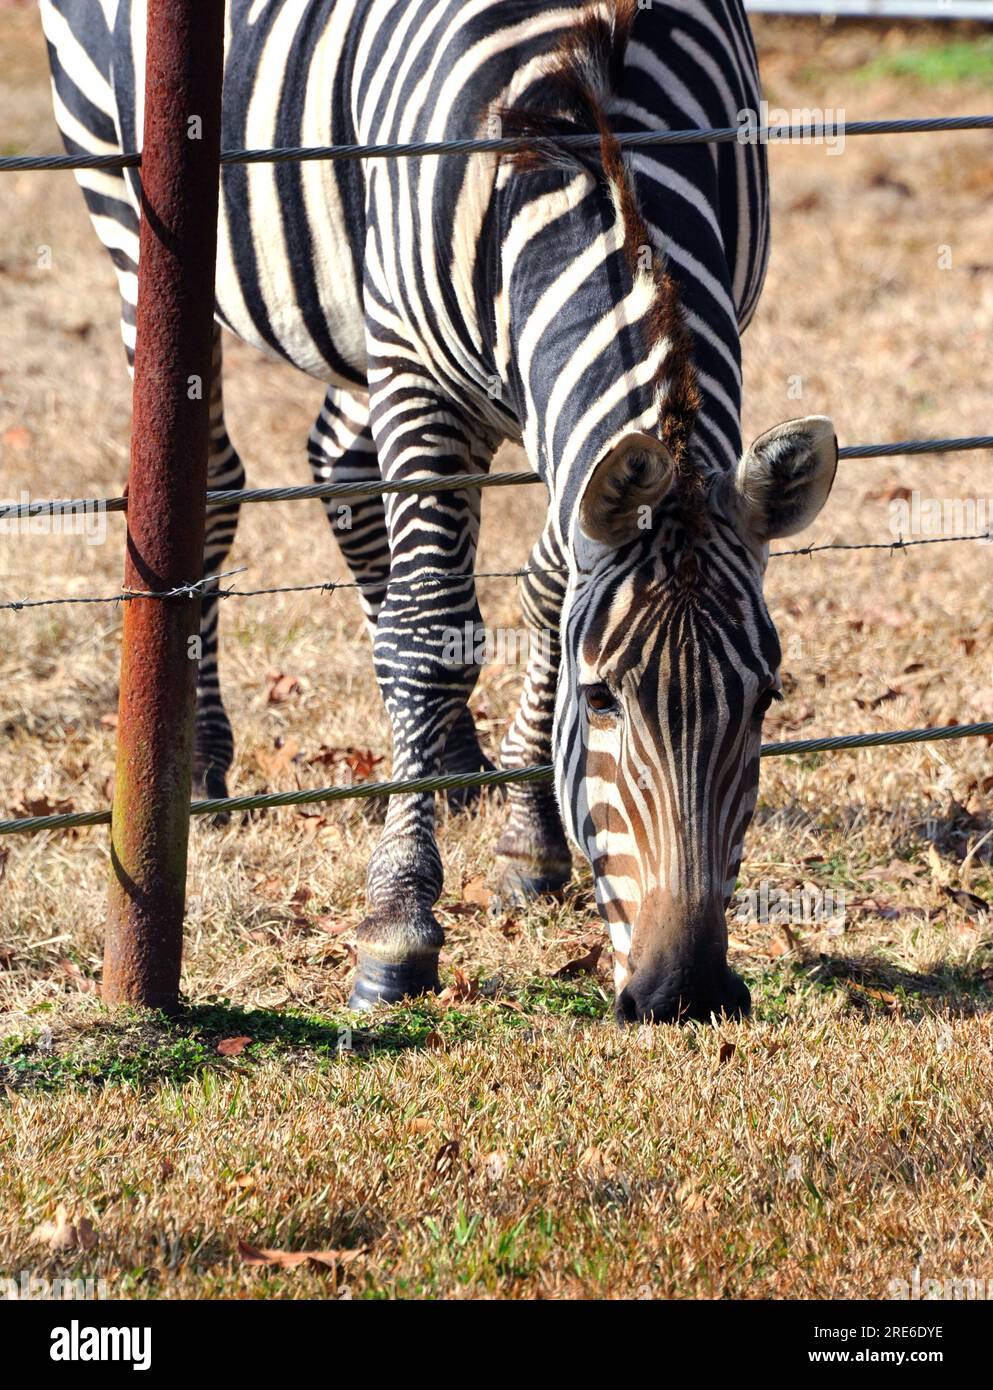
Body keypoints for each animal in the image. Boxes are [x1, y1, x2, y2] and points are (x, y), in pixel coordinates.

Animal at [42, 0, 836, 1023]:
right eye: (601, 698)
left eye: (767, 697)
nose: (684, 994)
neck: (594, 119)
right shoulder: (420, 373)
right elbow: (429, 636)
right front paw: (397, 929)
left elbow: (544, 592)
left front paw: (527, 839)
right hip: (133, 208)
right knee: (214, 491)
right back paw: (207, 760)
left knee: (339, 463)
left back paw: (450, 753)